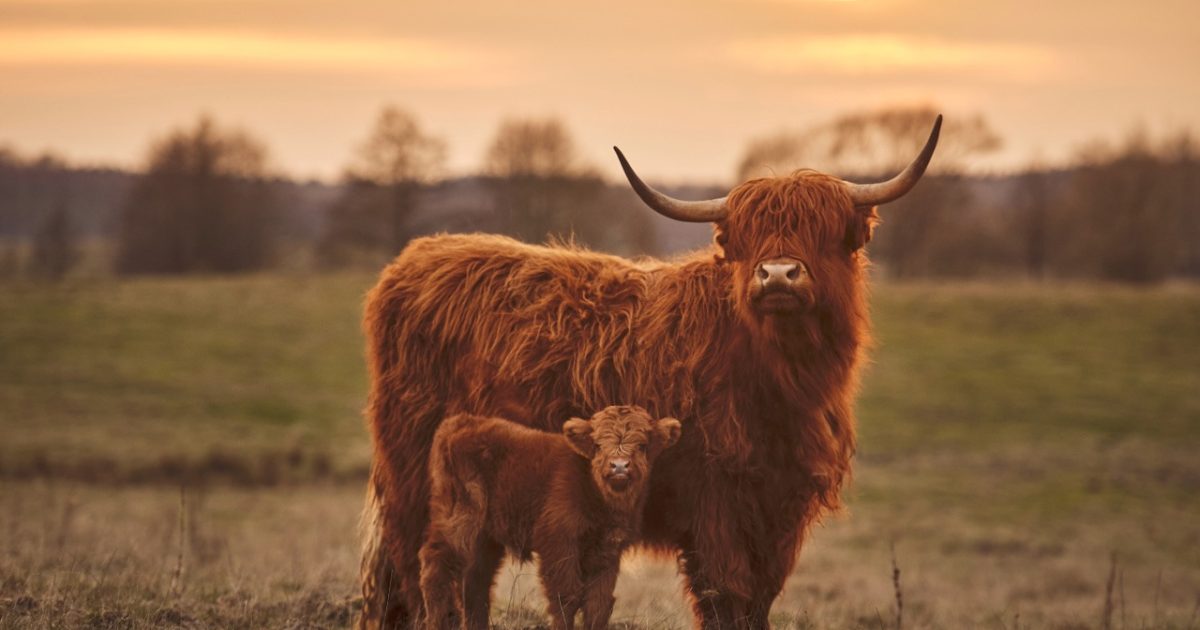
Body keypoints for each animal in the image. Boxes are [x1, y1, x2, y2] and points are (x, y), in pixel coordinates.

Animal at [419, 405, 681, 630]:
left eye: (642, 445)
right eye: (597, 445)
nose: (619, 466)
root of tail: (460, 423)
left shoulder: (608, 552)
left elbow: (598, 603)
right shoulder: (559, 543)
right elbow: (566, 597)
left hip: (485, 538)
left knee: (476, 581)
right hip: (459, 517)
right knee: (436, 565)